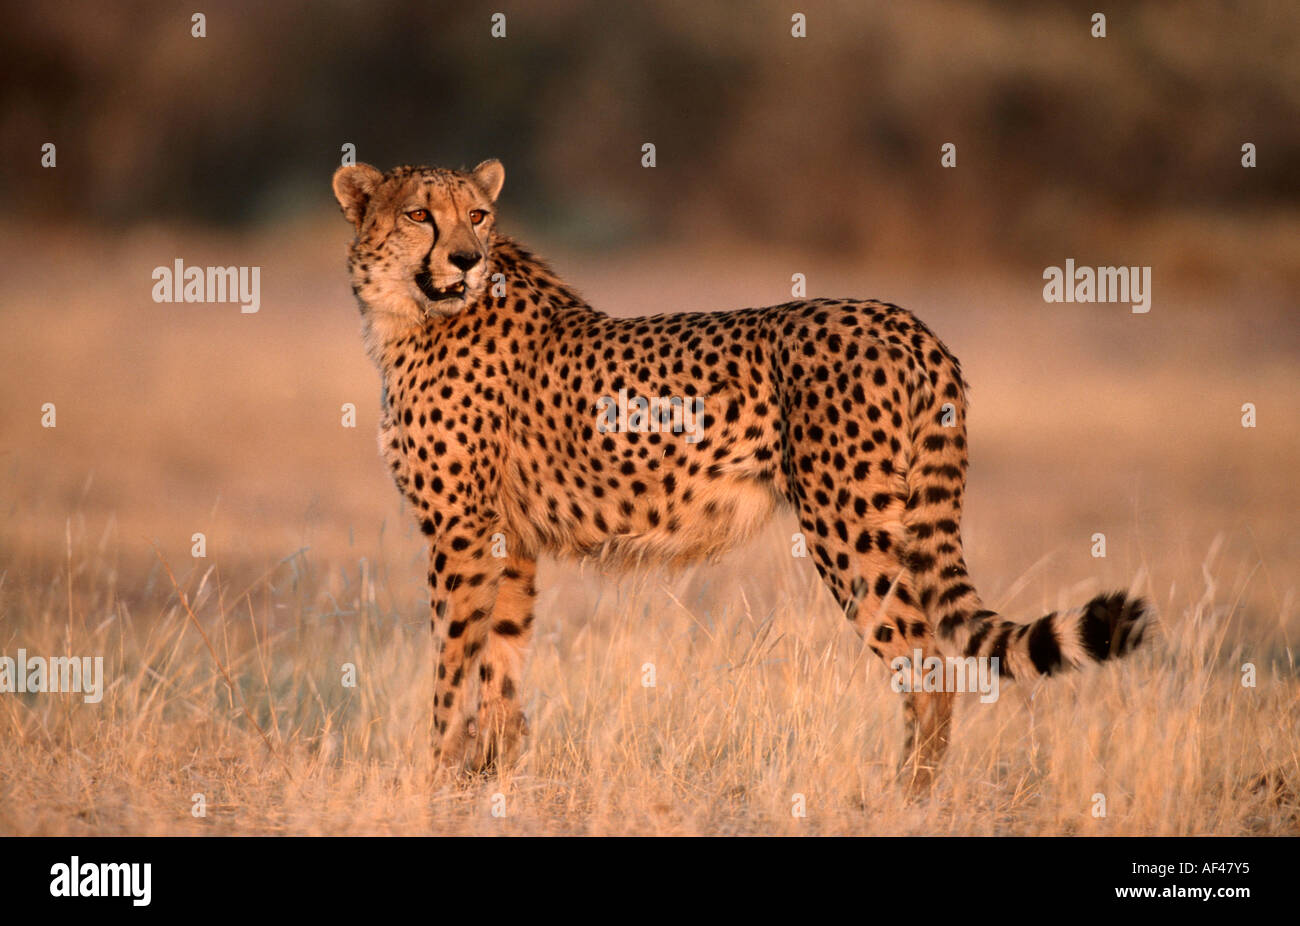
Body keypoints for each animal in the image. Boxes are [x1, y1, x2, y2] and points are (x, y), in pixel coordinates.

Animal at [331, 158, 1152, 792]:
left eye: (477, 215)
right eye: (419, 215)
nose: (467, 259)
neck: (411, 314)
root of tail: (906, 321)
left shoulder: (461, 534)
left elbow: (450, 668)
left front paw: (433, 781)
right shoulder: (511, 541)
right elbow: (499, 668)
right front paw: (488, 783)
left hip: (849, 529)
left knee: (931, 668)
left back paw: (904, 800)